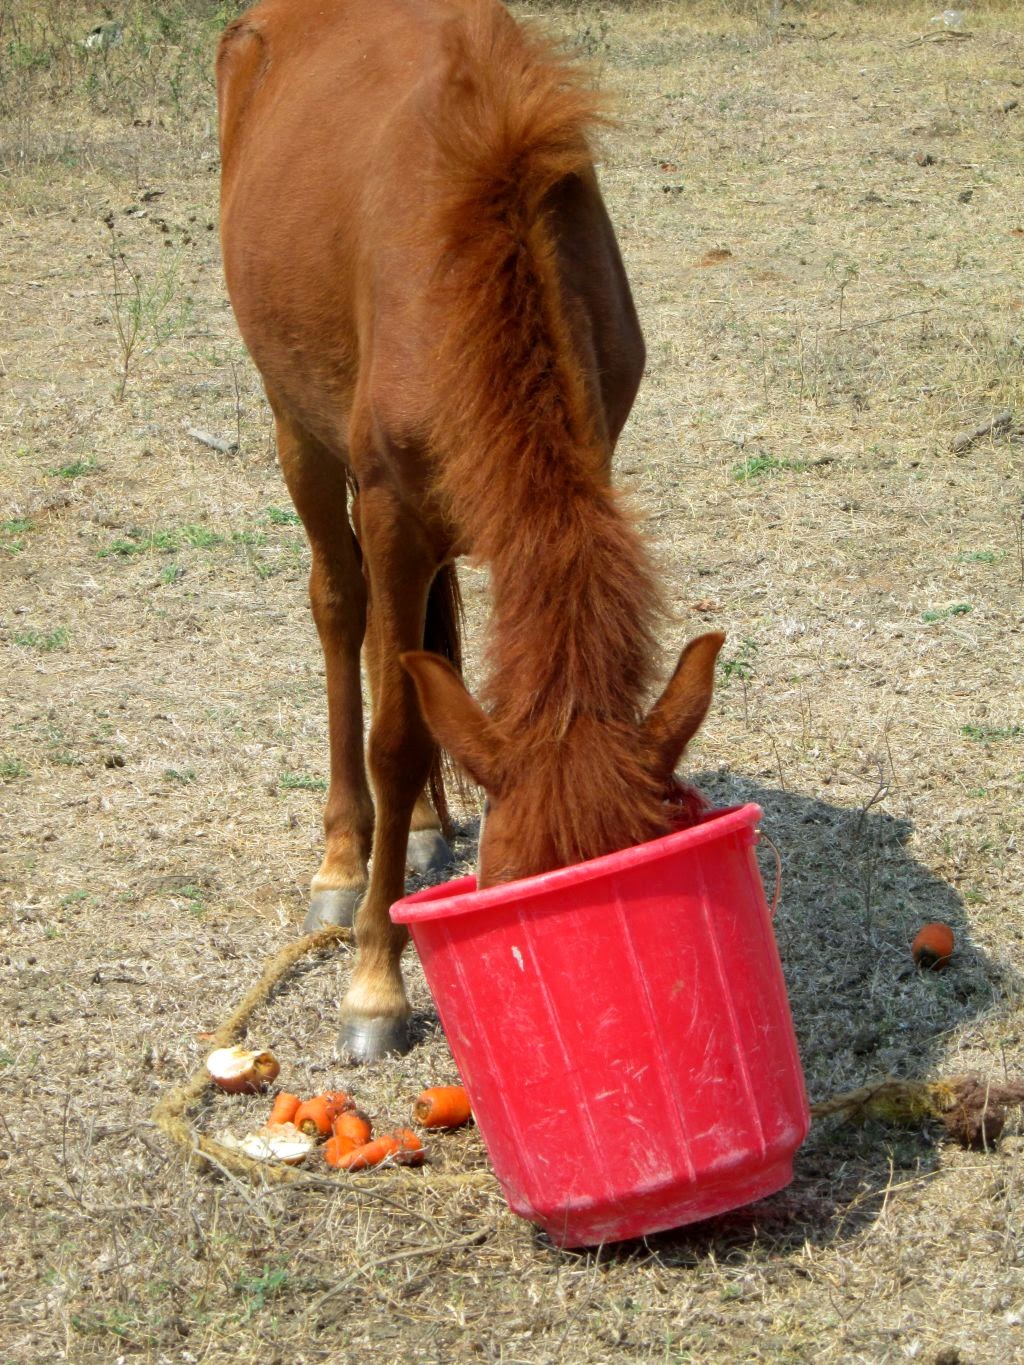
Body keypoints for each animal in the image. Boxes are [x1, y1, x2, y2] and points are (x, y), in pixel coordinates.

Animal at [217, 0, 724, 1061]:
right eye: (511, 887)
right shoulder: (392, 510)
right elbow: (398, 734)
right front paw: (375, 981)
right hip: (297, 428)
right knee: (341, 610)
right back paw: (344, 856)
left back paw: (408, 830)